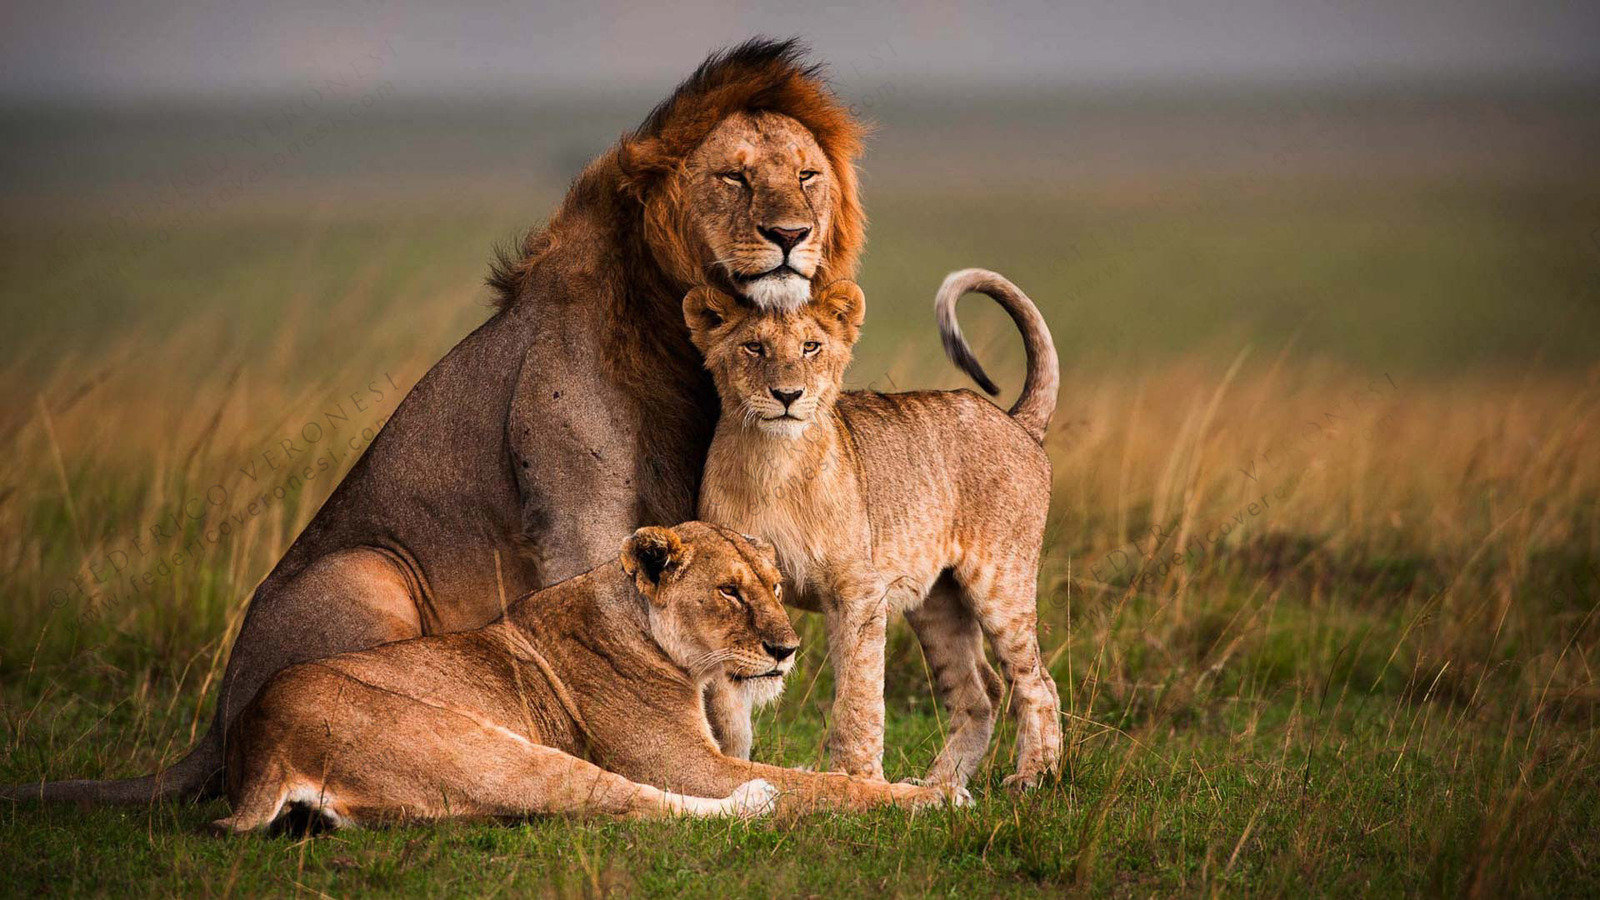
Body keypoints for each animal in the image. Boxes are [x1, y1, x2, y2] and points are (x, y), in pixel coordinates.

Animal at [3, 39, 867, 806]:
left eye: (806, 177)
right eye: (733, 177)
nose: (790, 236)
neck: (676, 332)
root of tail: (216, 728)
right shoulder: (579, 513)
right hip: (366, 570)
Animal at [213, 522, 961, 832]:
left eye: (774, 587)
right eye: (728, 592)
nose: (788, 649)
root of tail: (258, 744)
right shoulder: (687, 764)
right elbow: (821, 785)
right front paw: (929, 795)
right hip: (484, 749)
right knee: (627, 801)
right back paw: (754, 802)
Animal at [686, 270, 1064, 791]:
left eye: (810, 347)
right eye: (754, 347)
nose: (788, 396)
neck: (773, 463)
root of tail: (1016, 421)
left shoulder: (859, 592)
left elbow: (859, 695)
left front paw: (857, 776)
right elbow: (727, 708)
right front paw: (730, 769)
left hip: (1002, 583)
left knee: (1037, 682)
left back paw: (1033, 776)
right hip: (936, 603)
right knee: (980, 692)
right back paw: (939, 786)